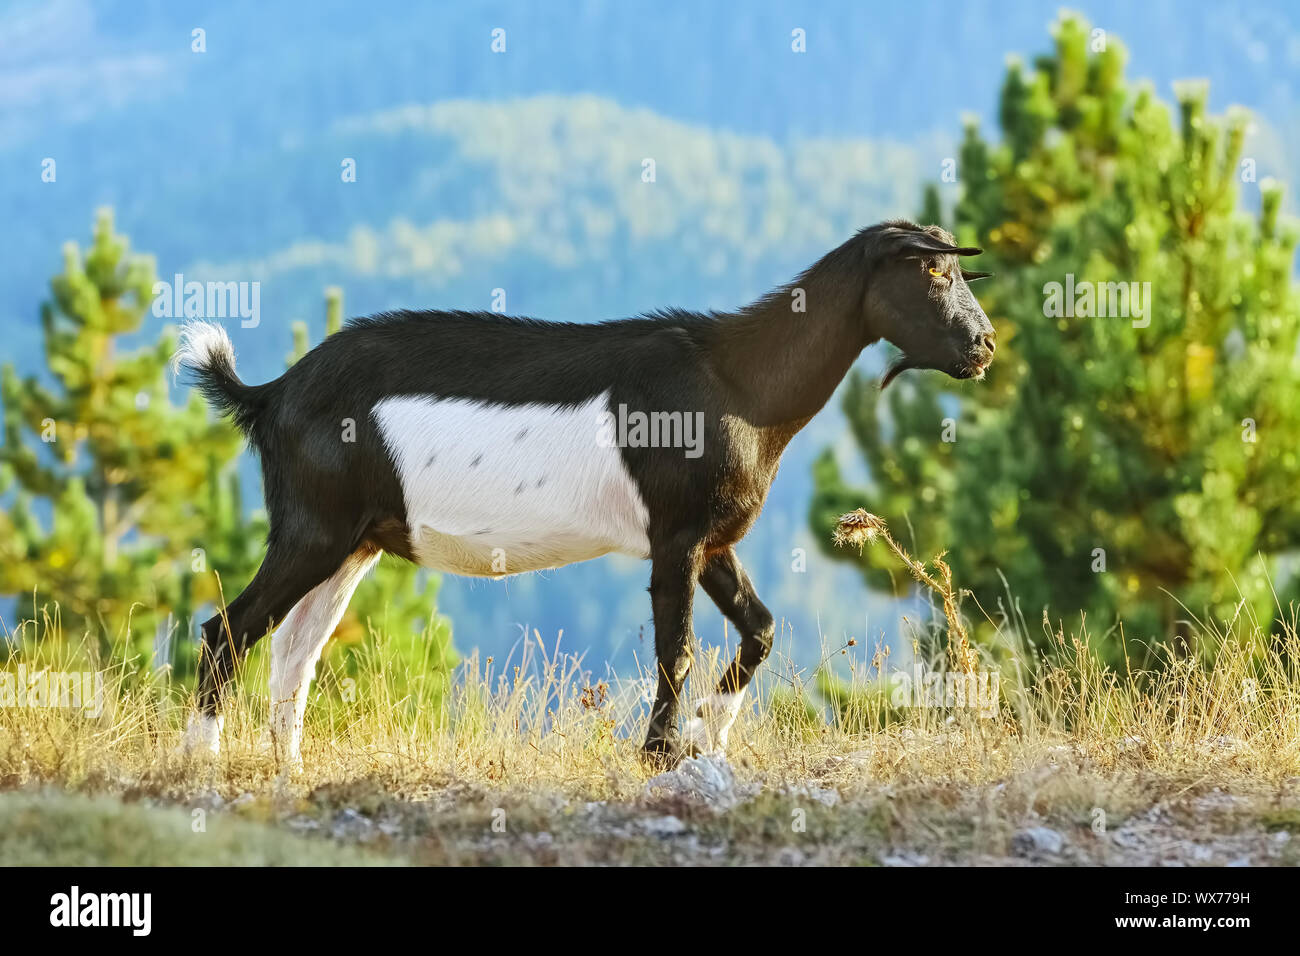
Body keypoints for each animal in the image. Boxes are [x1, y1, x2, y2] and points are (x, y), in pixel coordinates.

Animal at [174, 219, 994, 768]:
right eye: (931, 272)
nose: (983, 346)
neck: (735, 381)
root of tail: (272, 394)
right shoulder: (675, 535)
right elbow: (677, 647)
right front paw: (660, 752)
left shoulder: (711, 538)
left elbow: (760, 628)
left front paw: (706, 732)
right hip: (314, 527)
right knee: (226, 632)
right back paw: (203, 763)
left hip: (355, 542)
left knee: (293, 650)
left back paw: (289, 770)